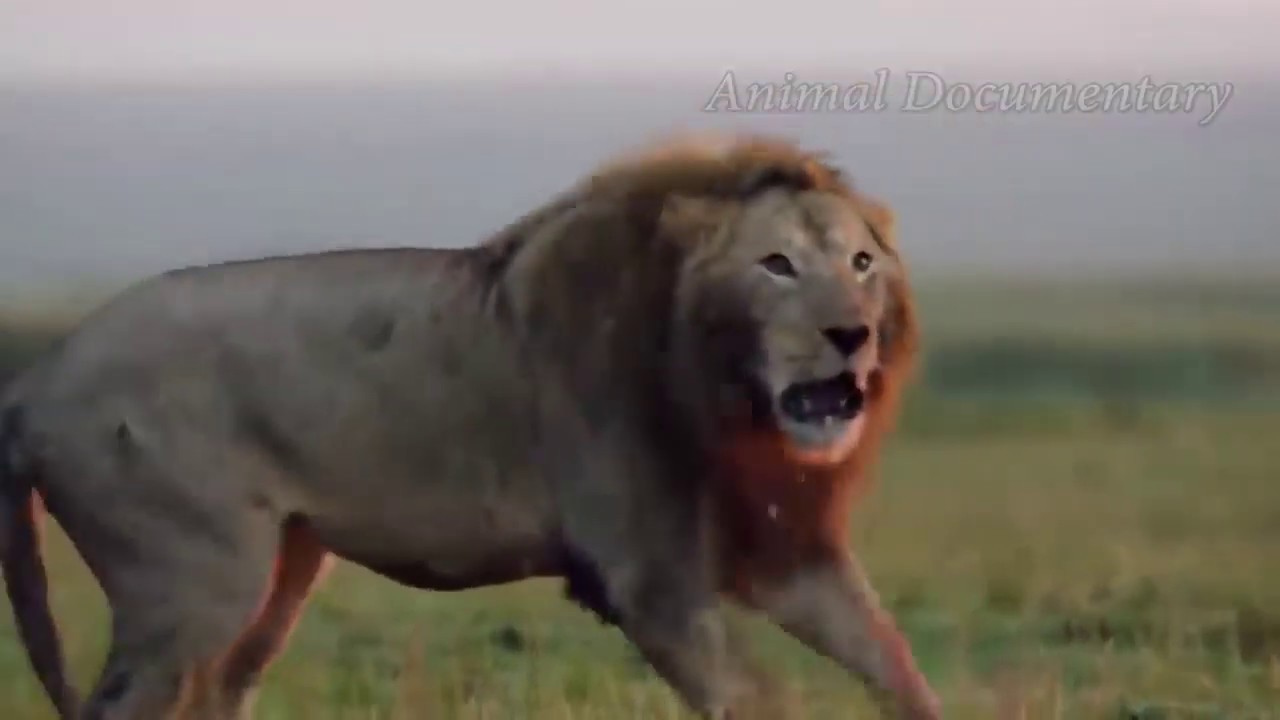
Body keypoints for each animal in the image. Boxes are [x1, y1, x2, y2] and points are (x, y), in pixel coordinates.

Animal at [0, 132, 937, 719]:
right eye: (776, 265)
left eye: (862, 263)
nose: (851, 335)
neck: (729, 396)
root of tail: (38, 378)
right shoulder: (651, 580)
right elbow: (762, 700)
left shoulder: (784, 551)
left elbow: (899, 669)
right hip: (193, 587)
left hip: (276, 582)